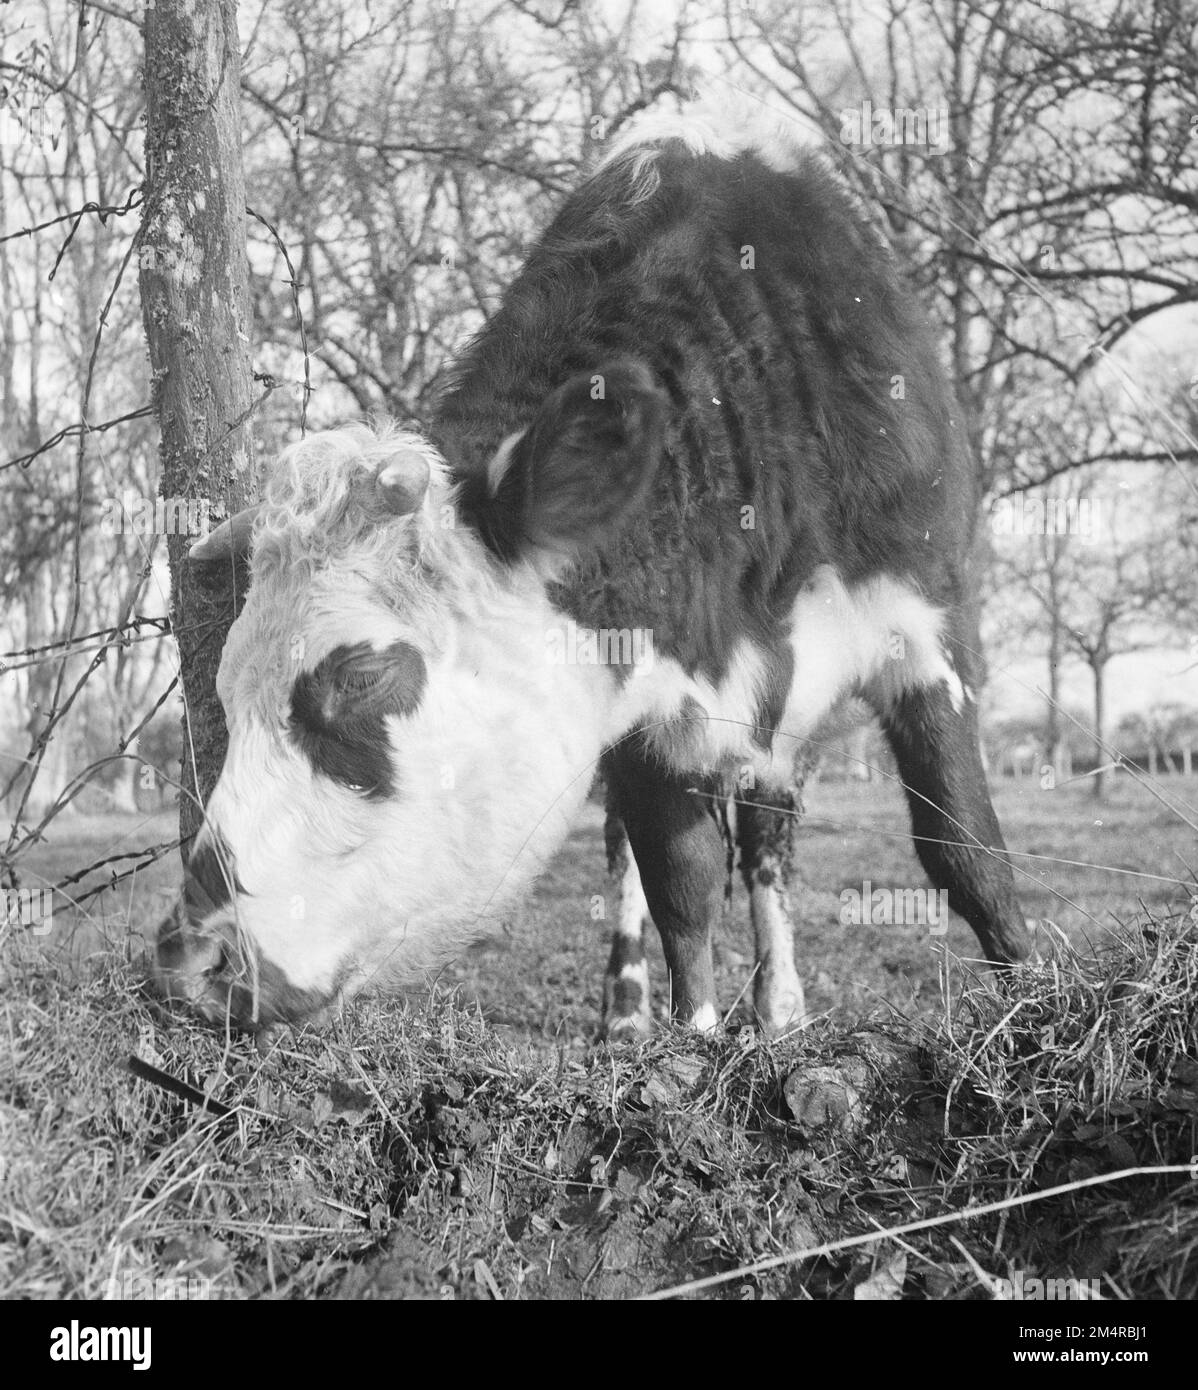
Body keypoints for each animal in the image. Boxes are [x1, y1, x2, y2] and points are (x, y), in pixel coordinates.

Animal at [154, 102, 1033, 1037]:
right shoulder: (644, 713)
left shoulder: (931, 627)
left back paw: (782, 1006)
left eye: (359, 676)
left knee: (771, 843)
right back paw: (627, 1010)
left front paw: (1033, 1002)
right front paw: (691, 1040)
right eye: (224, 690)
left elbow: (966, 850)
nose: (187, 960)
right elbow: (682, 890)